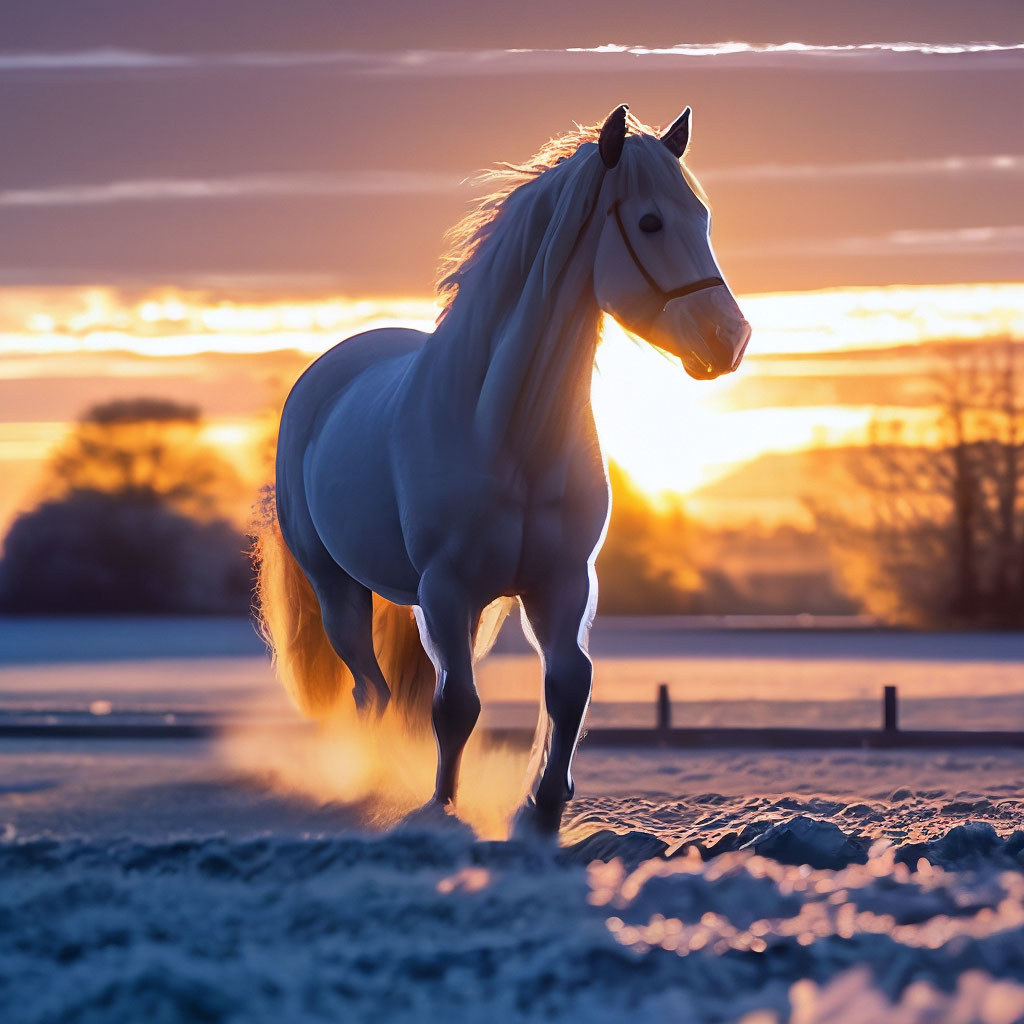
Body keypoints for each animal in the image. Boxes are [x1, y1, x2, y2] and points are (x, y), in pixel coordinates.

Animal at [257, 103, 751, 835]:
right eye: (650, 222)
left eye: (704, 218)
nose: (729, 339)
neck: (510, 435)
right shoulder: (447, 587)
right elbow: (457, 704)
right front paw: (442, 805)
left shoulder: (561, 583)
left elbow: (569, 684)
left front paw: (543, 805)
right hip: (339, 589)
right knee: (371, 691)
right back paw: (375, 782)